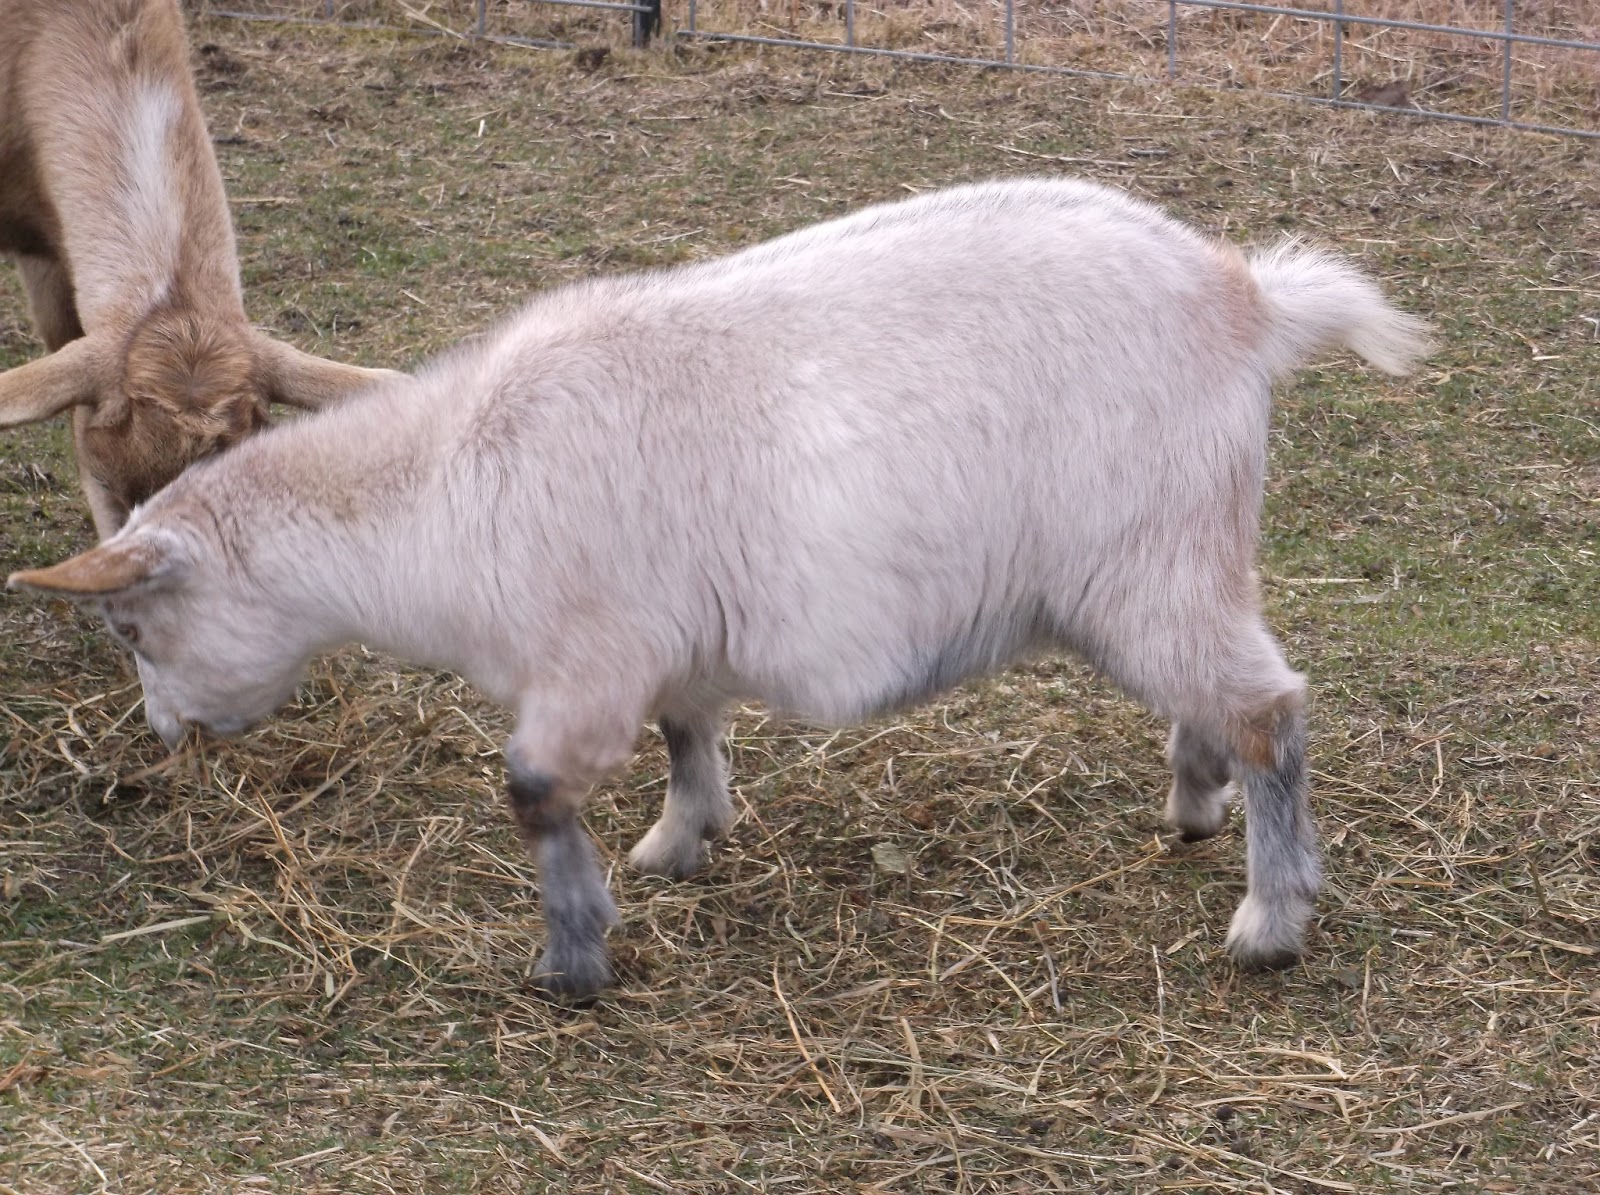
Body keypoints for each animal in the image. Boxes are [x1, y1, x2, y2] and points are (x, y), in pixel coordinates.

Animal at [10, 177, 1435, 999]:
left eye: (133, 624)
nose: (166, 734)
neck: (445, 491)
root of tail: (1246, 300)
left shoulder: (584, 659)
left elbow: (533, 790)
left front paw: (574, 955)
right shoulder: (668, 638)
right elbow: (688, 733)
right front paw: (680, 839)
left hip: (1153, 551)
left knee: (1272, 709)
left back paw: (1269, 919)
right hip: (1164, 560)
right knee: (1214, 694)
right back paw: (1194, 805)